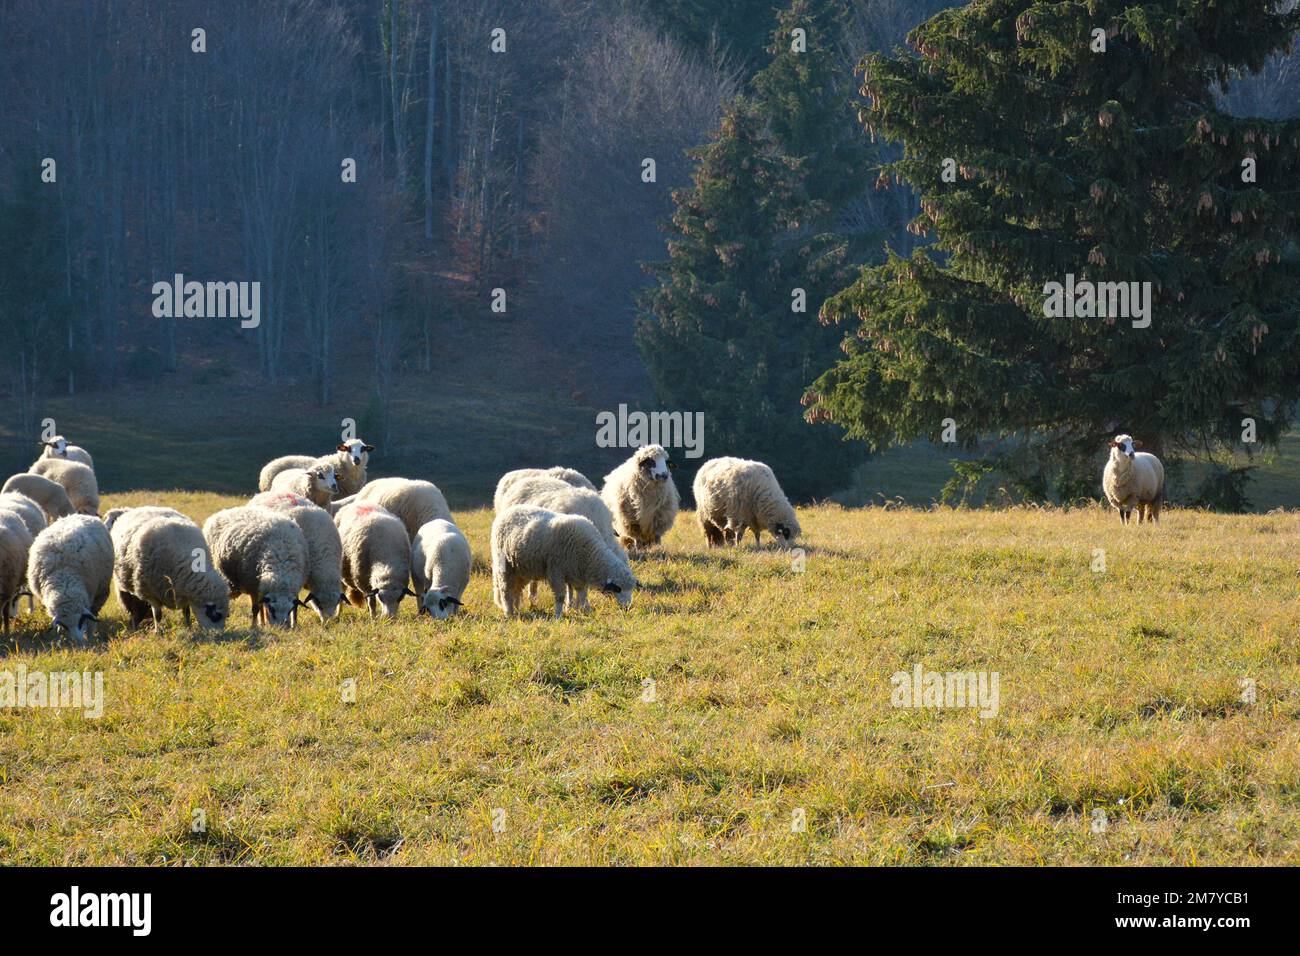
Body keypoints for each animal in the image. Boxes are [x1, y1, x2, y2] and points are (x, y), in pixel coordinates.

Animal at [26, 514, 114, 643]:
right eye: (65, 625)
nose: (79, 642)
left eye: (81, 620)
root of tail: (77, 514)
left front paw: (90, 637)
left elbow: (91, 620)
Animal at [249, 491, 344, 622]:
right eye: (319, 604)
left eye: (336, 603)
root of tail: (264, 493)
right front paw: (294, 622)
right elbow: (295, 605)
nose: (327, 622)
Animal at [491, 505, 636, 619]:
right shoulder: (556, 571)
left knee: (516, 589)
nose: (627, 608)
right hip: (505, 566)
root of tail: (506, 511)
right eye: (619, 589)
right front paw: (558, 615)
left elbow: (582, 594)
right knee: (505, 590)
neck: (590, 553)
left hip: (521, 569)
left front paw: (584, 611)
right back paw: (509, 613)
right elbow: (561, 596)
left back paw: (516, 609)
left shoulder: (576, 574)